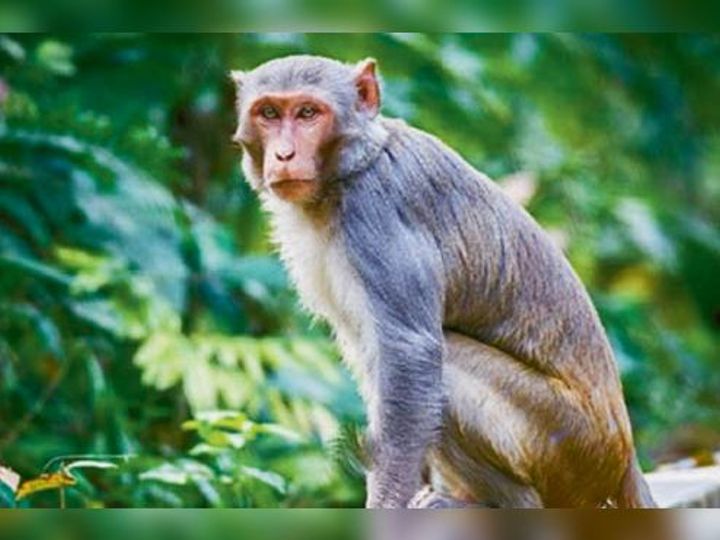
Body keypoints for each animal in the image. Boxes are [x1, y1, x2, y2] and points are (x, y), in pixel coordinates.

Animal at [229, 54, 657, 509]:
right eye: (269, 113)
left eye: (308, 113)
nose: (284, 153)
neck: (351, 171)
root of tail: (622, 455)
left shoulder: (375, 212)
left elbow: (409, 352)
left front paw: (387, 503)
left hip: (564, 444)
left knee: (445, 364)